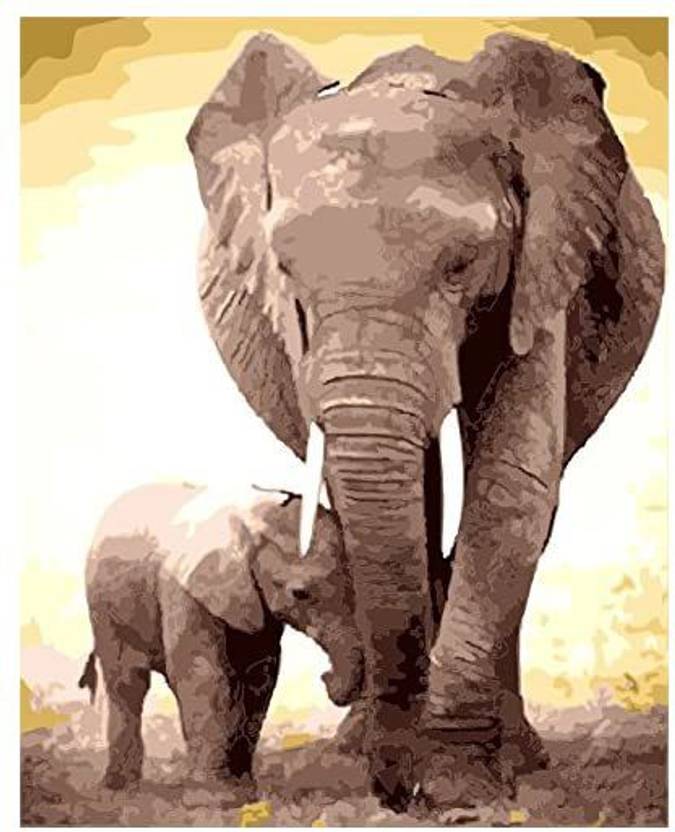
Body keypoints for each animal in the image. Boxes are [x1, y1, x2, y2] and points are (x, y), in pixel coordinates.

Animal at [81, 483, 363, 800]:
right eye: (300, 593)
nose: (325, 676)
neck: (250, 524)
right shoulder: (185, 589)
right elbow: (202, 673)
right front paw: (216, 799)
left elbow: (259, 677)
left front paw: (244, 791)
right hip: (103, 606)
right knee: (126, 682)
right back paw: (121, 790)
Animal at [187, 33, 664, 811]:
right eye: (285, 271)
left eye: (462, 266)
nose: (396, 790)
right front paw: (412, 763)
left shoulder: (541, 265)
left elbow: (509, 483)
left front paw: (458, 780)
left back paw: (518, 756)